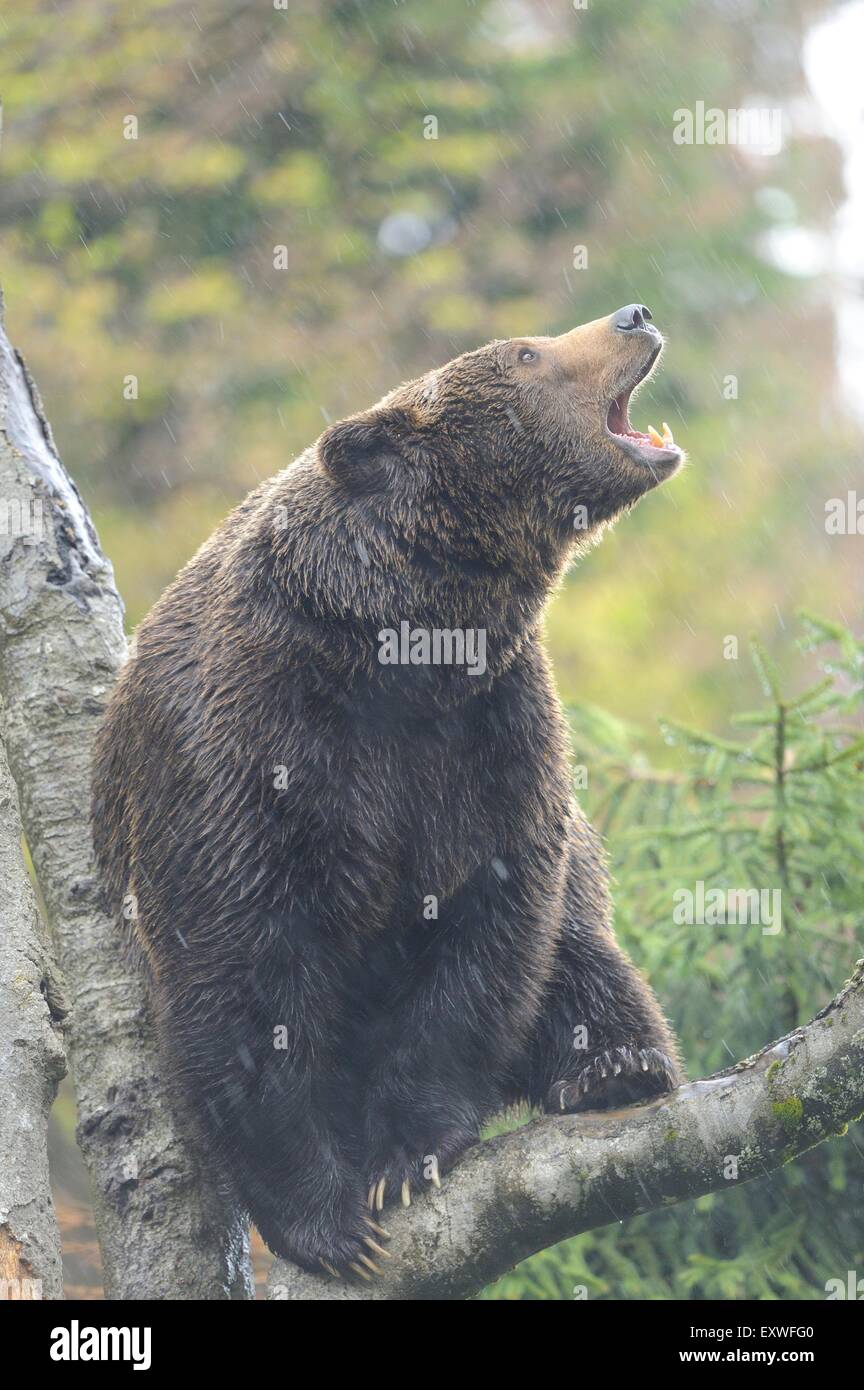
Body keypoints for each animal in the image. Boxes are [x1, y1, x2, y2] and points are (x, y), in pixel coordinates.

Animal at [92, 302, 684, 1279]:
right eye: (527, 353)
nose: (632, 314)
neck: (393, 642)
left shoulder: (488, 732)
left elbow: (486, 929)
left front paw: (405, 1159)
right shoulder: (245, 756)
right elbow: (243, 979)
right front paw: (324, 1217)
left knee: (579, 948)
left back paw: (616, 1065)